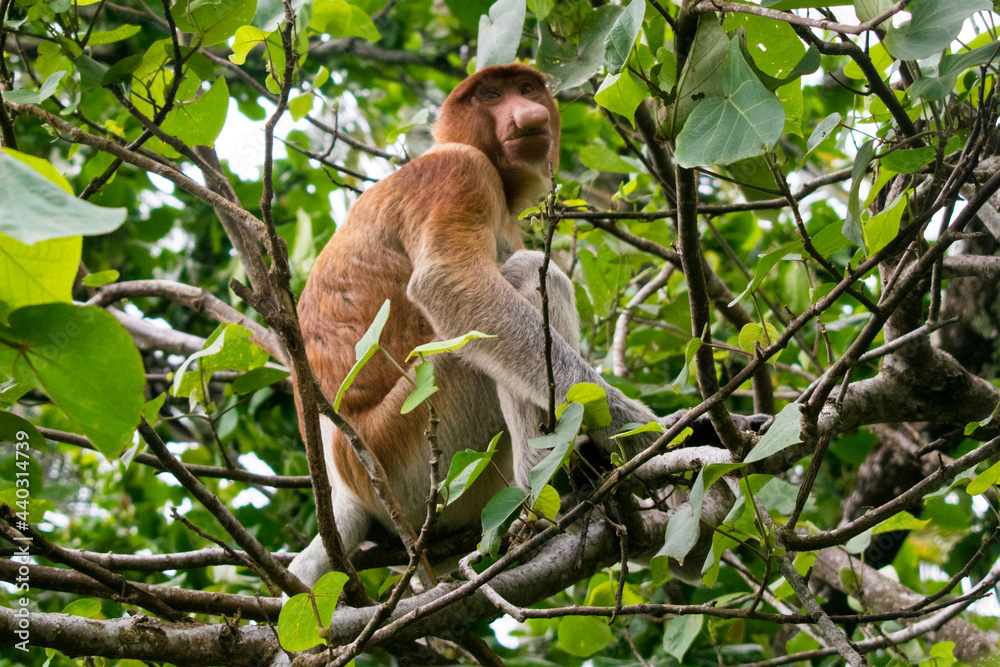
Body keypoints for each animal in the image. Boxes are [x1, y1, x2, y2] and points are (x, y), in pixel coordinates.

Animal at [288, 63, 666, 588]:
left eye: (526, 90)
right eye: (490, 96)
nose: (527, 115)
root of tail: (345, 488)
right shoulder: (460, 171)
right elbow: (451, 283)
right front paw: (639, 430)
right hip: (416, 444)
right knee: (526, 276)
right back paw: (543, 479)